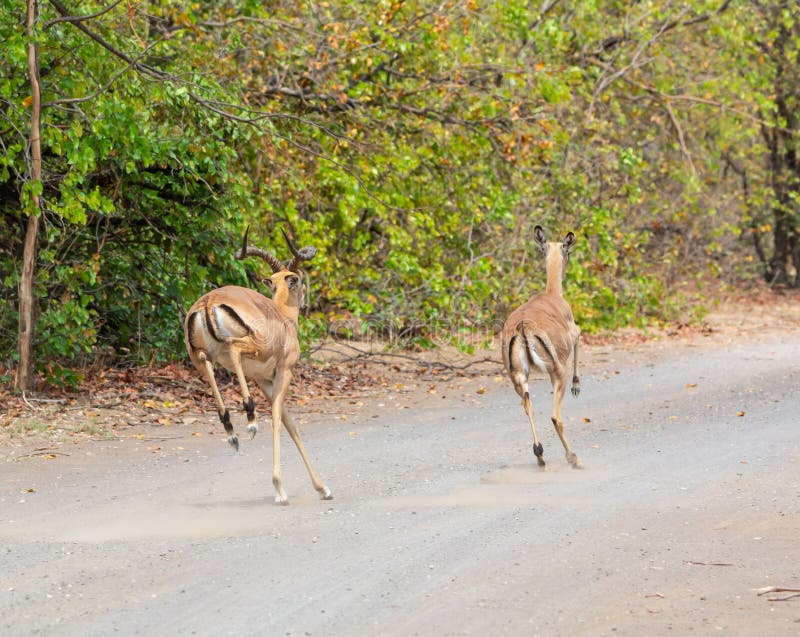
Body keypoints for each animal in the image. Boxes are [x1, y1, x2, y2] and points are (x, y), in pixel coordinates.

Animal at [183, 227, 332, 505]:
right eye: (298, 280)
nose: (305, 304)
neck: (283, 316)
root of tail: (208, 302)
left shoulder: (262, 379)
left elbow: (290, 423)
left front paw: (322, 488)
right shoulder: (283, 371)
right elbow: (278, 418)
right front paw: (280, 490)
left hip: (198, 356)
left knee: (208, 367)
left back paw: (231, 432)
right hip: (250, 345)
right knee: (233, 348)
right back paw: (250, 420)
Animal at [500, 225, 582, 469]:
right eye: (569, 251)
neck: (553, 294)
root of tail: (522, 327)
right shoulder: (574, 333)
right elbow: (580, 338)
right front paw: (577, 386)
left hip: (518, 376)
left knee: (527, 406)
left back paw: (540, 454)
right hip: (556, 372)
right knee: (555, 416)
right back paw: (573, 457)